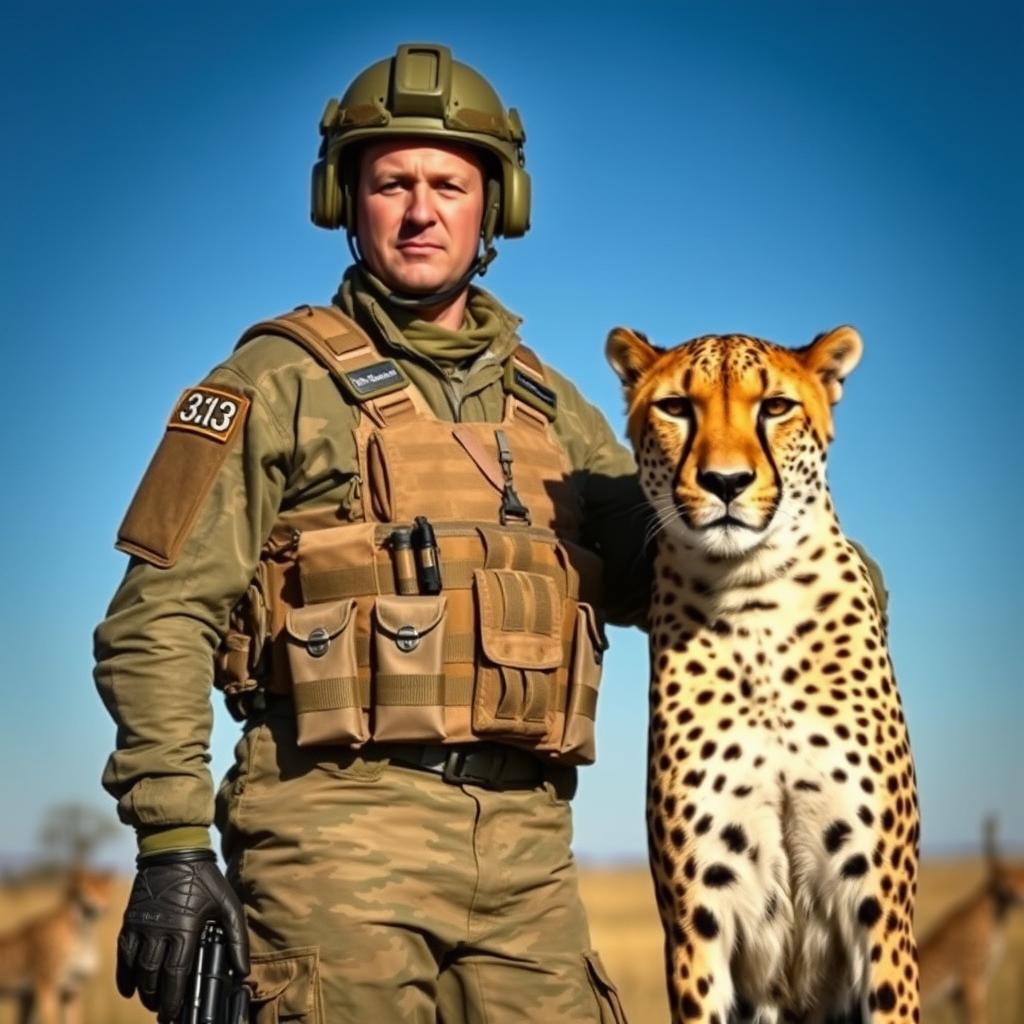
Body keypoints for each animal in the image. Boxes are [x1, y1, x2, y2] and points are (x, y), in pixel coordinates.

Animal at [606, 325, 920, 1023]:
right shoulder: (699, 919)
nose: (726, 481)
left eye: (775, 407)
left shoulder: (880, 910)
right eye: (676, 408)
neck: (752, 594)